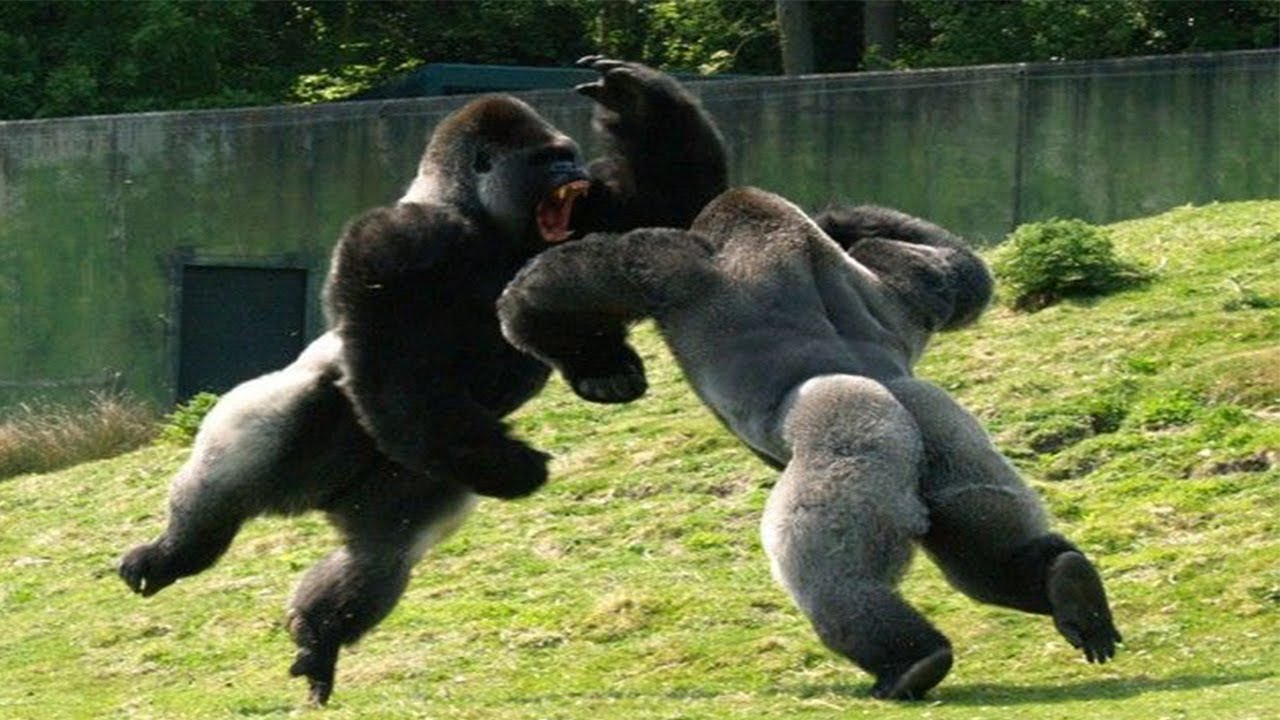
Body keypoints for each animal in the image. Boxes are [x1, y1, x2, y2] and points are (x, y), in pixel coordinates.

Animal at [118, 57, 727, 705]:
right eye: (546, 160)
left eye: (567, 155)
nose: (574, 171)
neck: (476, 217)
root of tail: (317, 496)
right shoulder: (395, 241)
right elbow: (392, 362)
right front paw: (527, 461)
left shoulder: (597, 212)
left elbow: (675, 206)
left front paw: (637, 100)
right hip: (315, 419)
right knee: (233, 472)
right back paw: (174, 551)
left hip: (415, 471)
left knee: (383, 555)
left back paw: (320, 636)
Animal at [496, 186, 1122, 700]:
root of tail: (888, 394)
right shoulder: (910, 285)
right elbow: (963, 274)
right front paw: (844, 219)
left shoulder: (668, 265)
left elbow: (548, 294)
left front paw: (599, 369)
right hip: (953, 438)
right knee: (985, 556)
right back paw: (1067, 585)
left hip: (853, 436)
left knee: (832, 577)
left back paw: (910, 661)